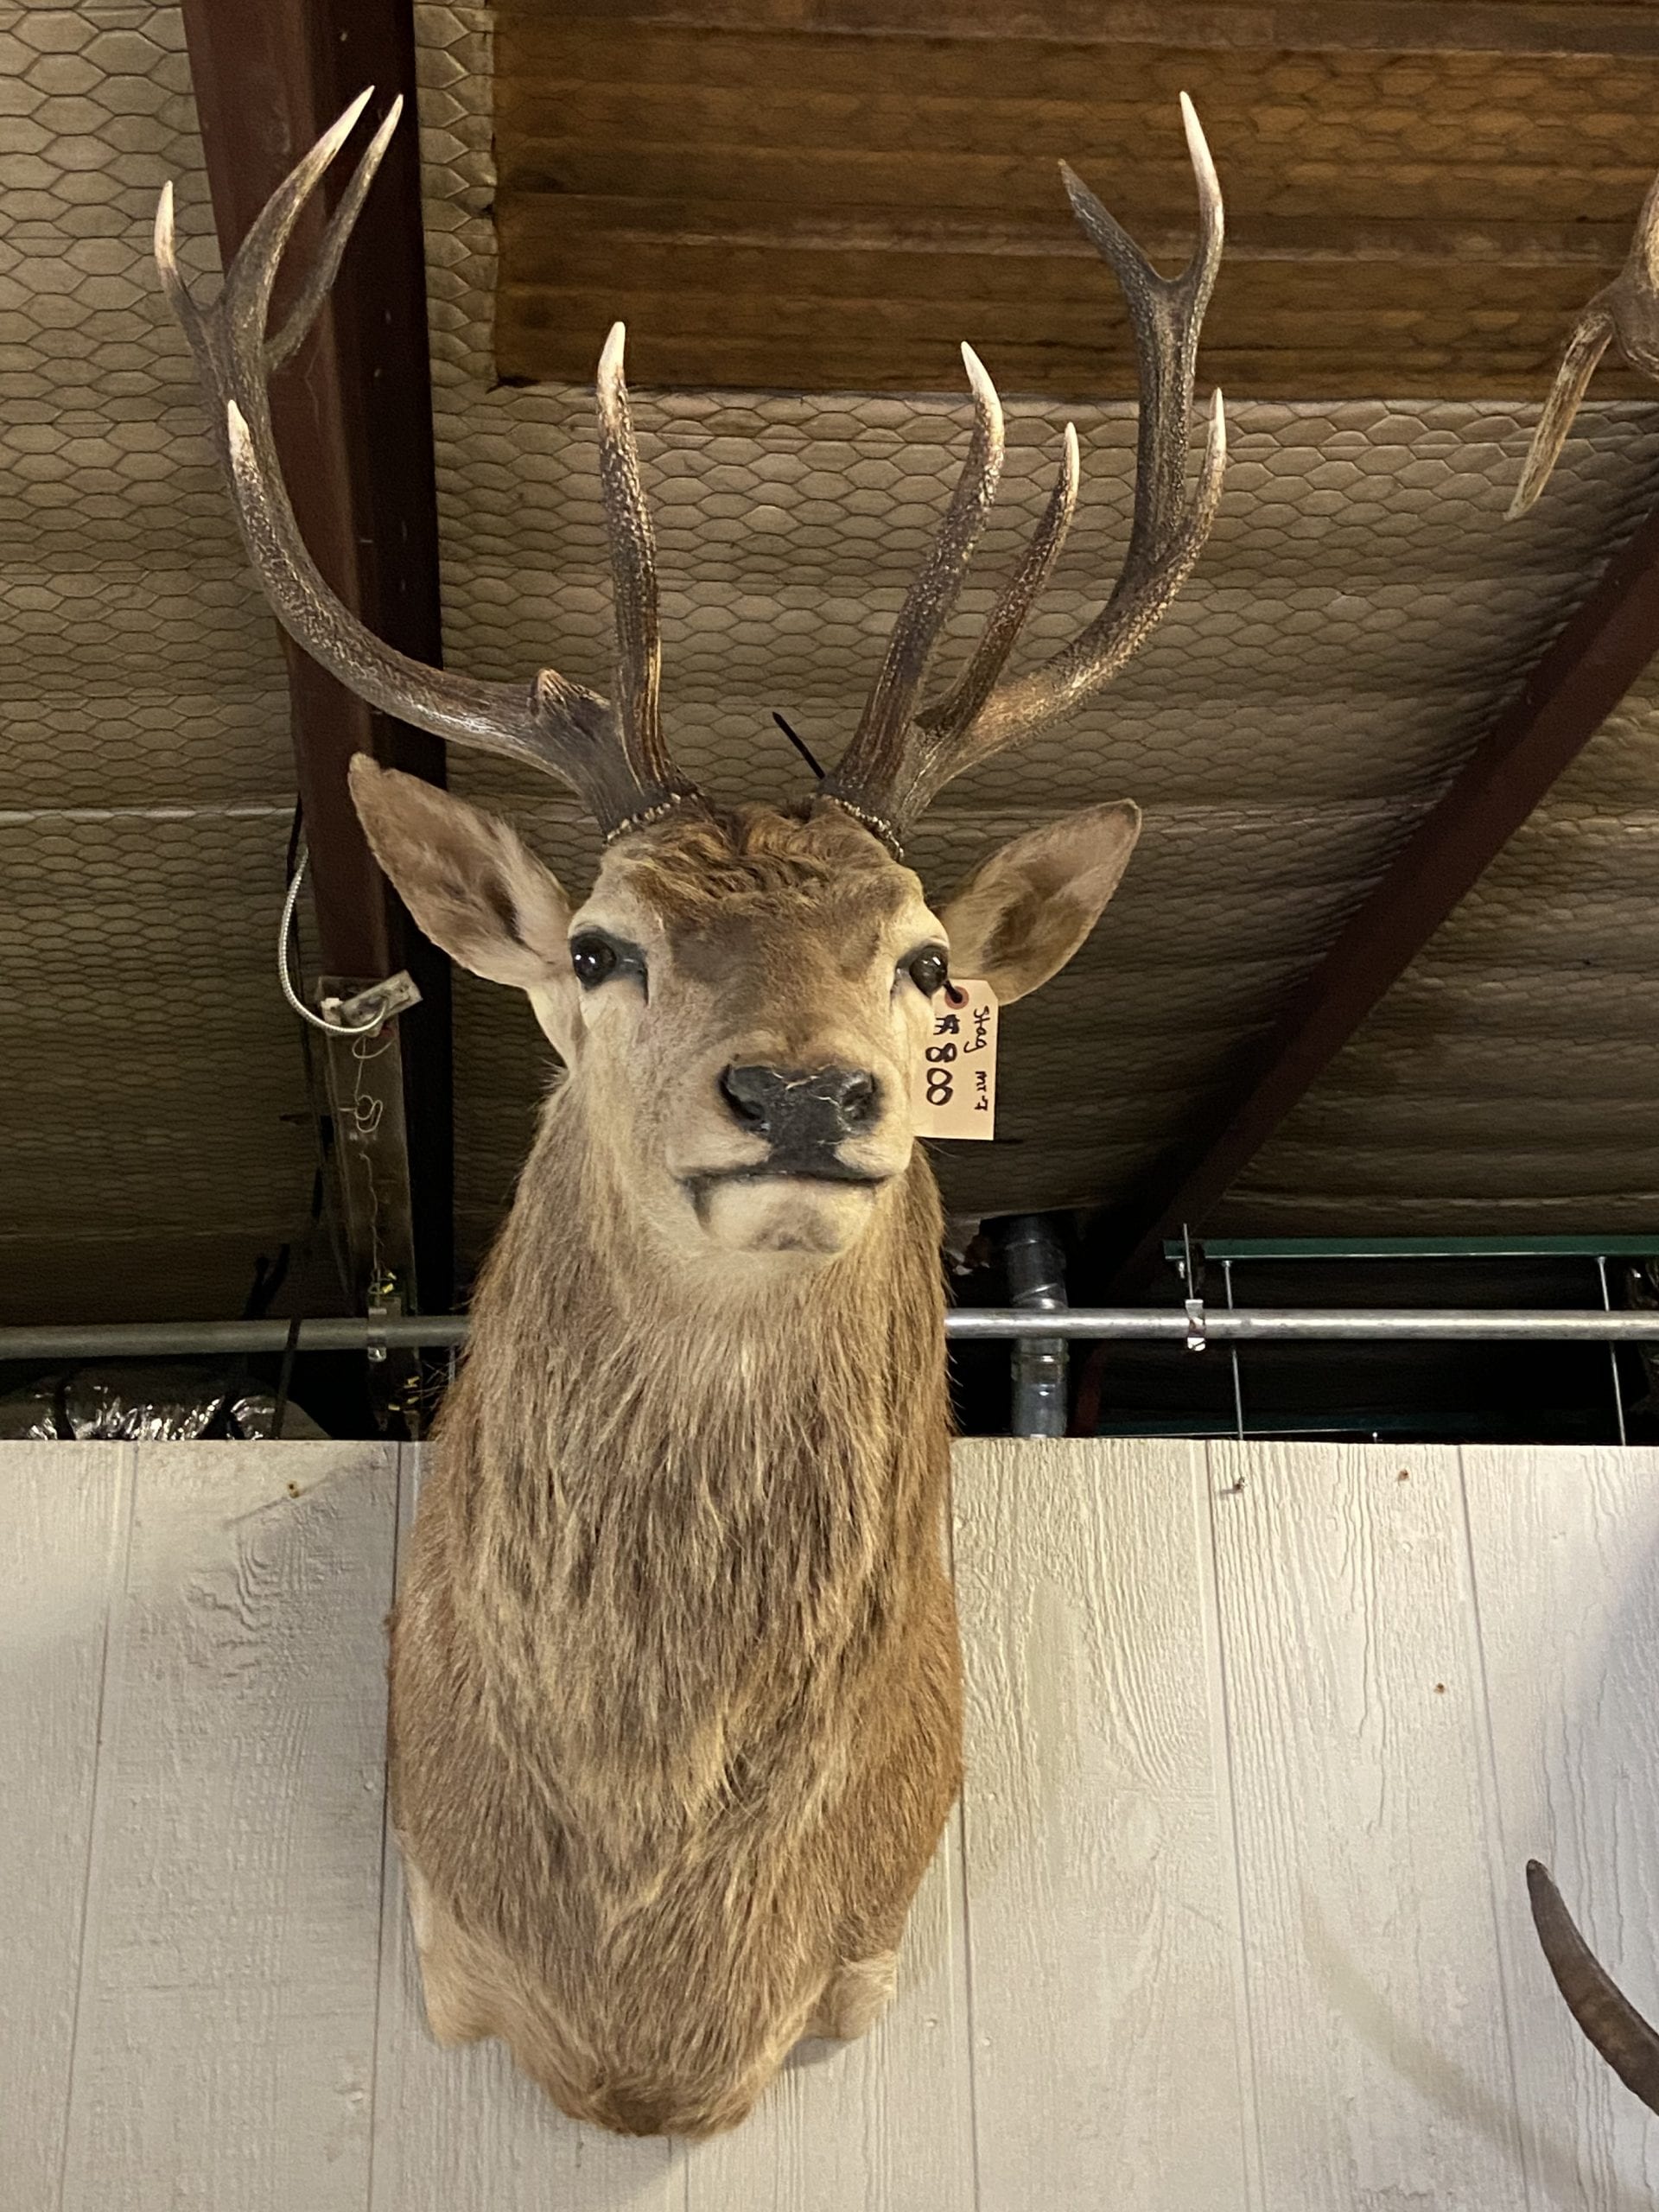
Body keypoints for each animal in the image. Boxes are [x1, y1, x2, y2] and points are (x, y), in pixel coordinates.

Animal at [155, 89, 1225, 2136]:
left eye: (920, 959)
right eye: (599, 943)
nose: (806, 1089)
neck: (657, 2006)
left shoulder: (872, 1947)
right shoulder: (444, 1947)